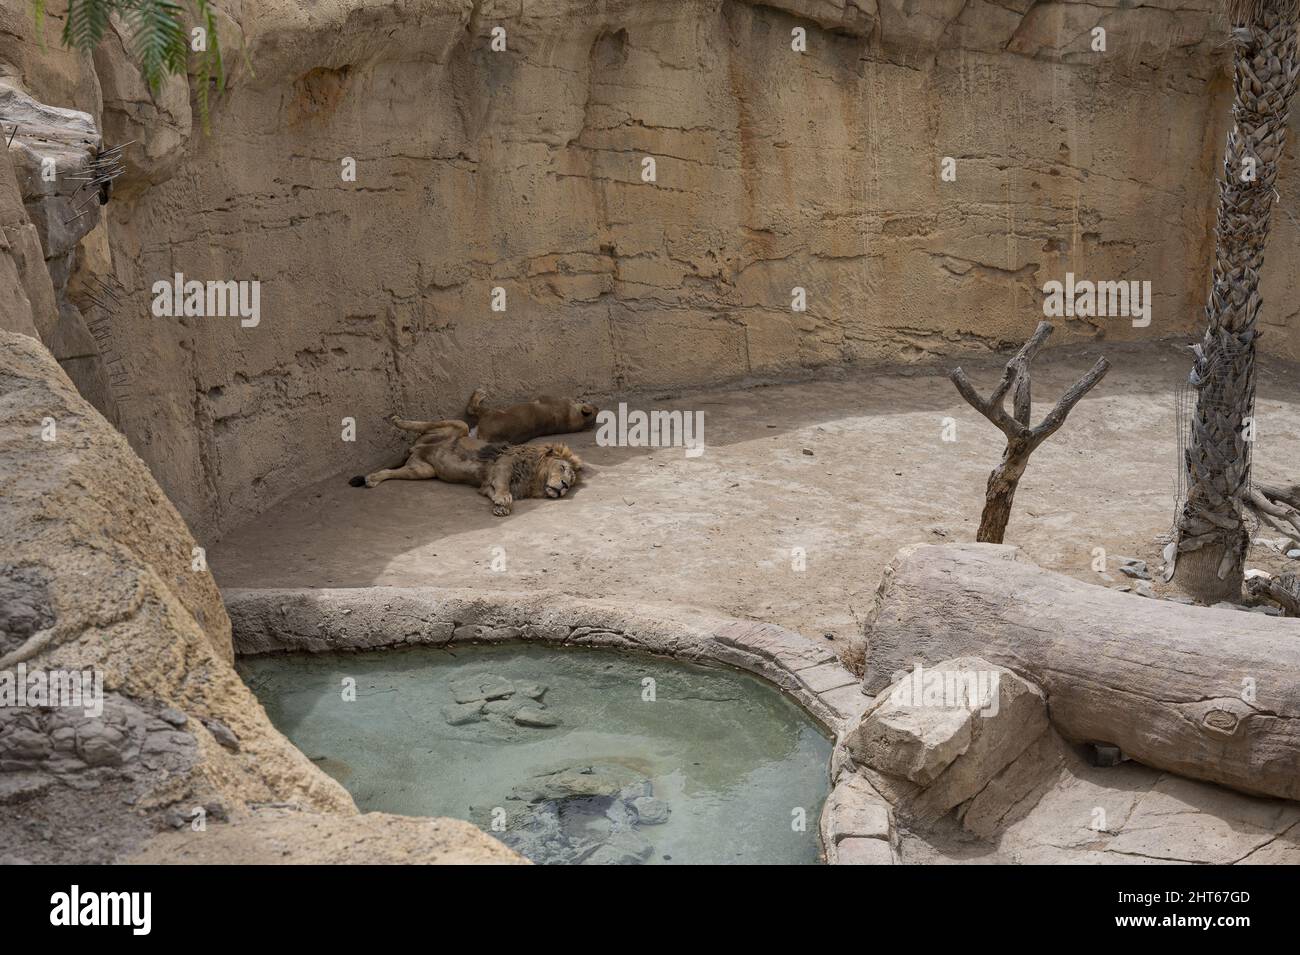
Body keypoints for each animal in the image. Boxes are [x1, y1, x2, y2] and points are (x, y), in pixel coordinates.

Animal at [348, 417, 585, 516]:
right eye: (563, 469)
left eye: (572, 482)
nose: (564, 487)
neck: (535, 478)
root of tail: (416, 447)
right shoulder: (504, 464)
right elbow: (503, 485)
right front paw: (504, 500)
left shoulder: (487, 483)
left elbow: (494, 491)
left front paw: (500, 508)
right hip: (458, 427)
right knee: (422, 423)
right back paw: (397, 420)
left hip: (423, 470)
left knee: (391, 471)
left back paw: (373, 479)